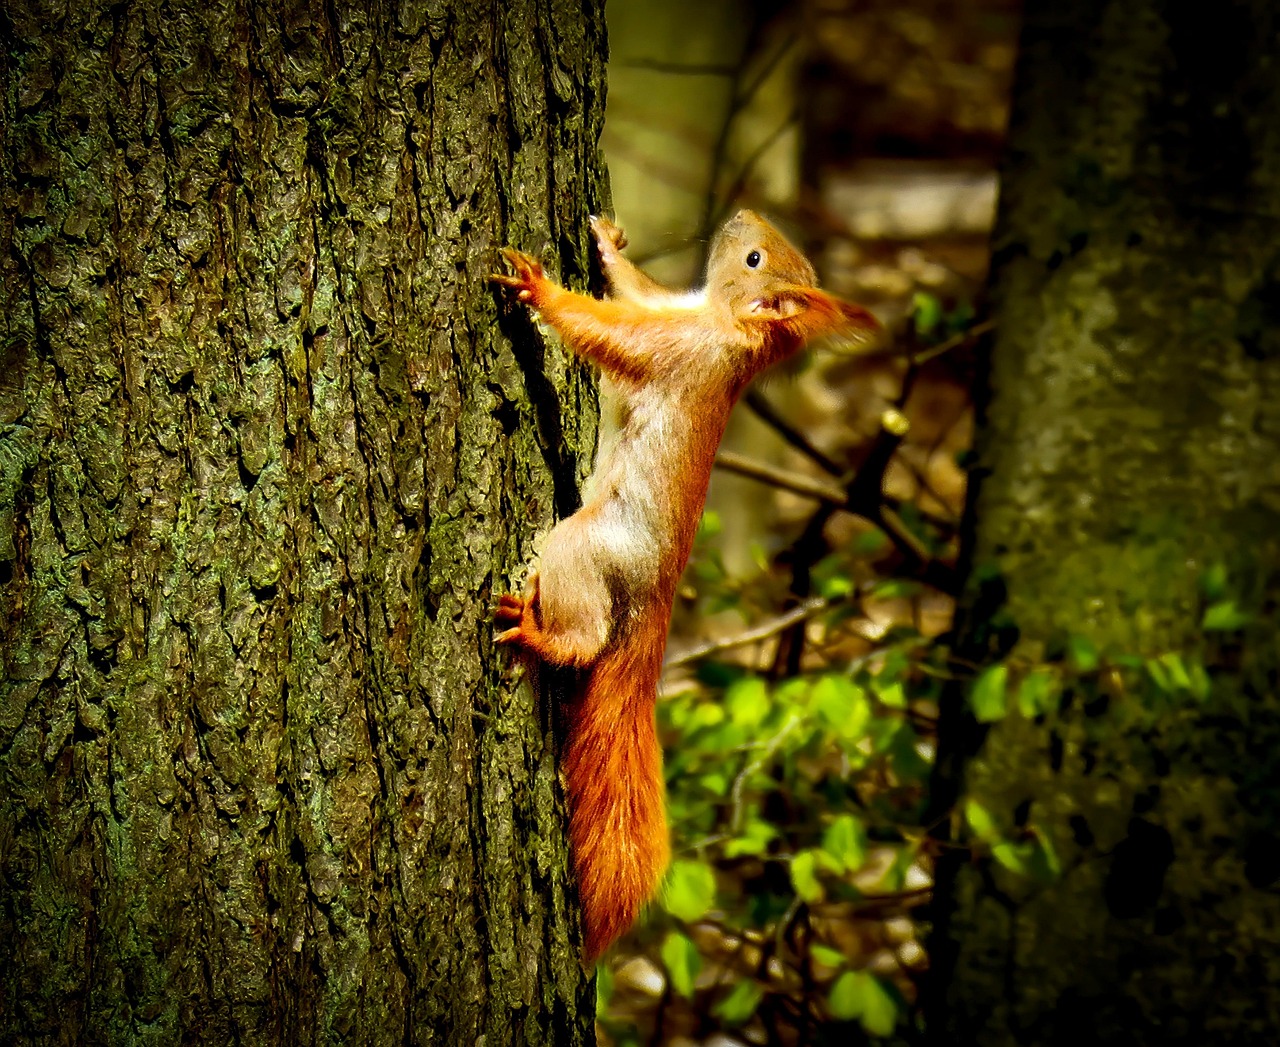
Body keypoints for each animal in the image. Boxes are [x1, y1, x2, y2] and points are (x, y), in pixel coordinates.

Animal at [492, 210, 880, 960]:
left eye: (753, 258)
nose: (742, 215)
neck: (720, 324)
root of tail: (653, 606)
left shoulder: (674, 349)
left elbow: (603, 330)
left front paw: (539, 288)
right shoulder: (669, 310)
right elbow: (636, 290)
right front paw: (609, 242)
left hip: (579, 550)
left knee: (584, 637)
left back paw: (537, 634)